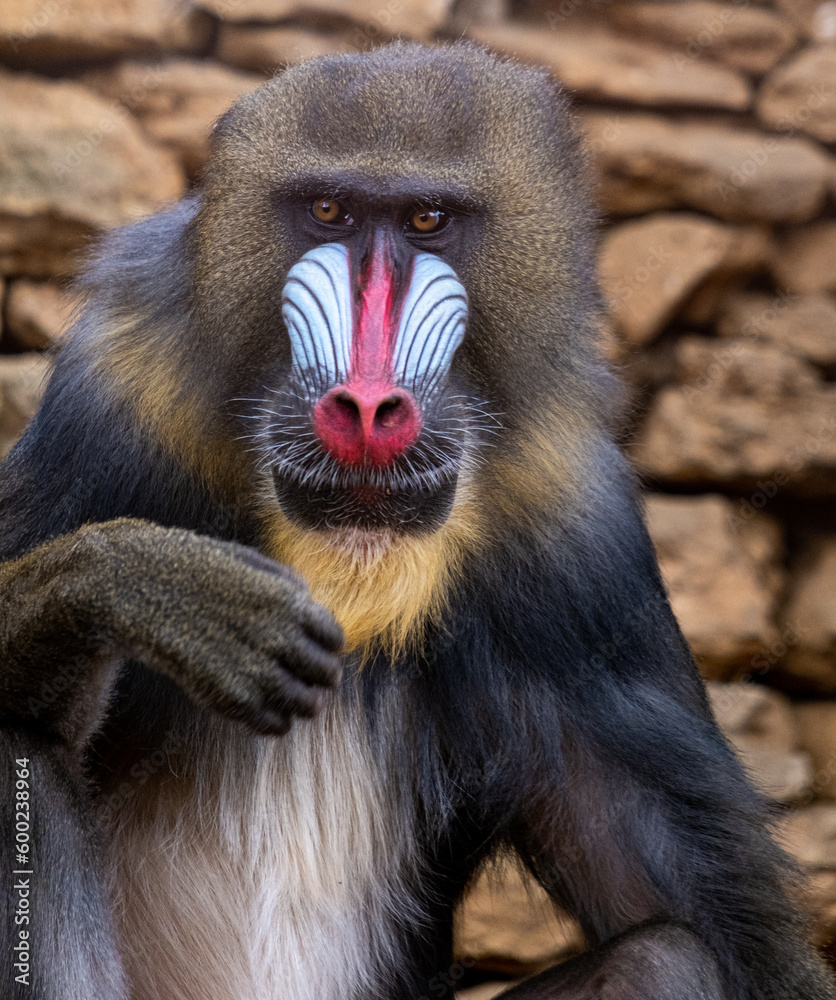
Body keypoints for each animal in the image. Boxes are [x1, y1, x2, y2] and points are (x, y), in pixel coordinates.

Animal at [0, 41, 833, 1000]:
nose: (365, 407)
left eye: (428, 219)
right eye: (330, 211)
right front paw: (153, 584)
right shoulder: (118, 397)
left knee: (667, 958)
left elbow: (723, 928)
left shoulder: (579, 534)